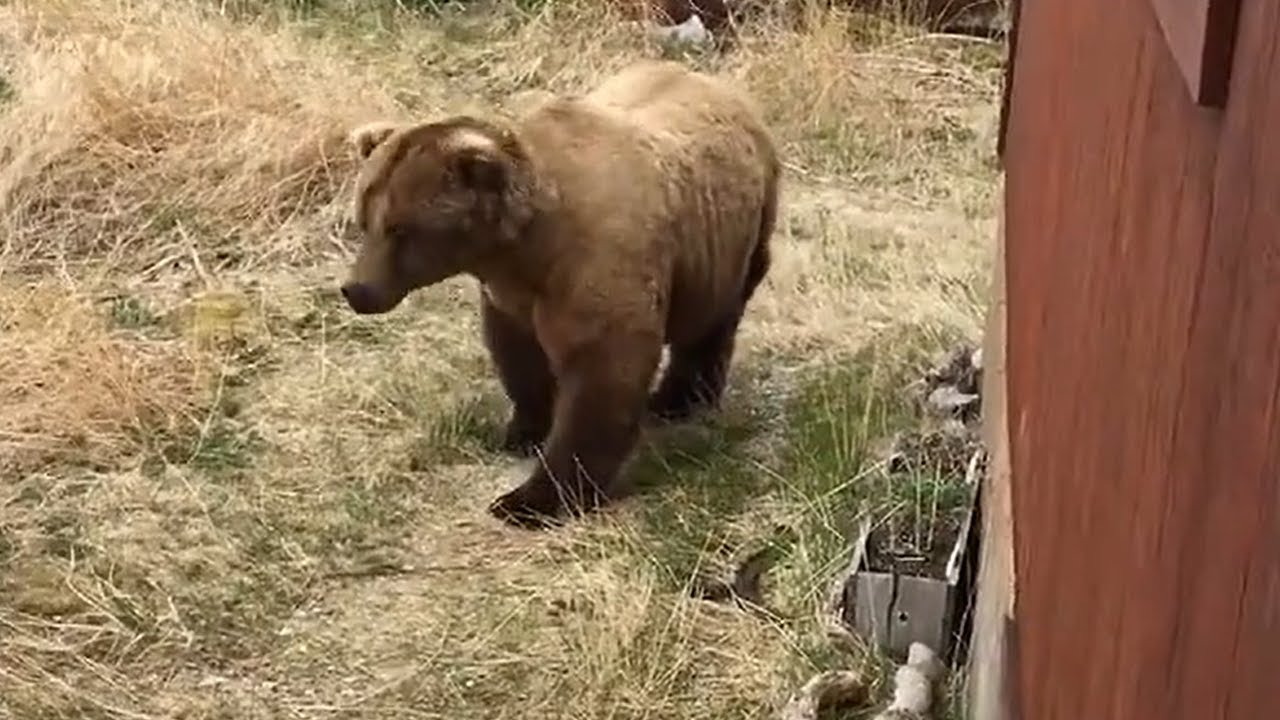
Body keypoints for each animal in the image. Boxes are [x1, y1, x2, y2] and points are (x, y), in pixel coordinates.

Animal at [340, 59, 780, 529]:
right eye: (364, 220)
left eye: (401, 229)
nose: (356, 289)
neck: (523, 247)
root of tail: (718, 85)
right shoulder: (508, 294)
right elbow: (518, 356)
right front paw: (523, 431)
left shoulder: (594, 265)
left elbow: (599, 374)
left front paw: (526, 501)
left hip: (732, 235)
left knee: (713, 319)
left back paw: (679, 400)